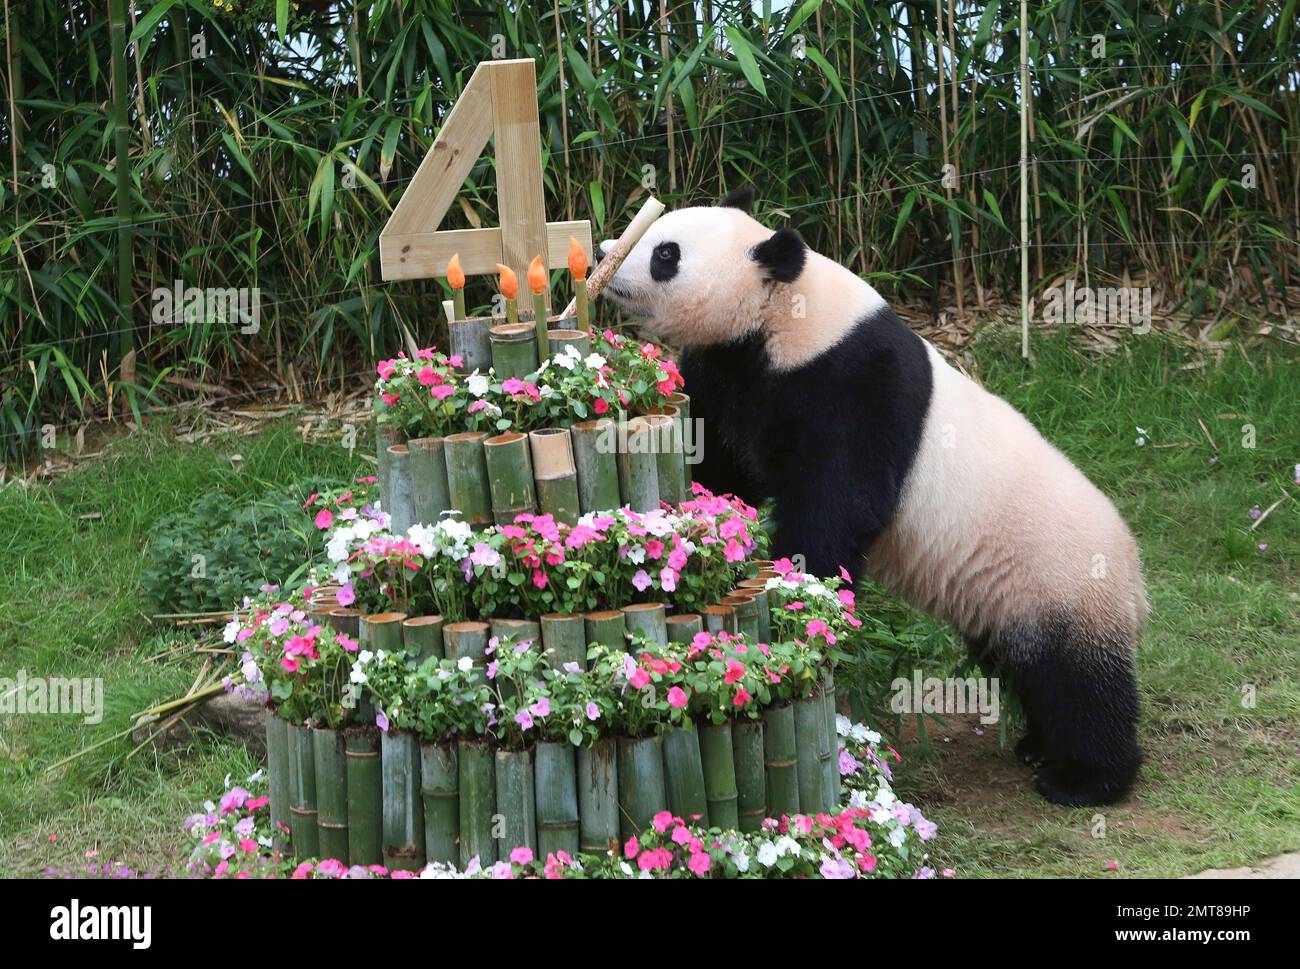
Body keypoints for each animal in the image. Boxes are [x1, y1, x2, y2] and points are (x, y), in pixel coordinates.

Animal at [600, 186, 1146, 807]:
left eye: (665, 253)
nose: (606, 252)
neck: (785, 312)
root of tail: (1134, 572)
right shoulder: (734, 371)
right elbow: (721, 465)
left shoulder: (852, 384)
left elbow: (840, 502)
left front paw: (800, 583)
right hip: (1006, 599)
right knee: (1022, 664)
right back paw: (1037, 745)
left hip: (1058, 578)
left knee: (1079, 684)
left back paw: (1084, 777)